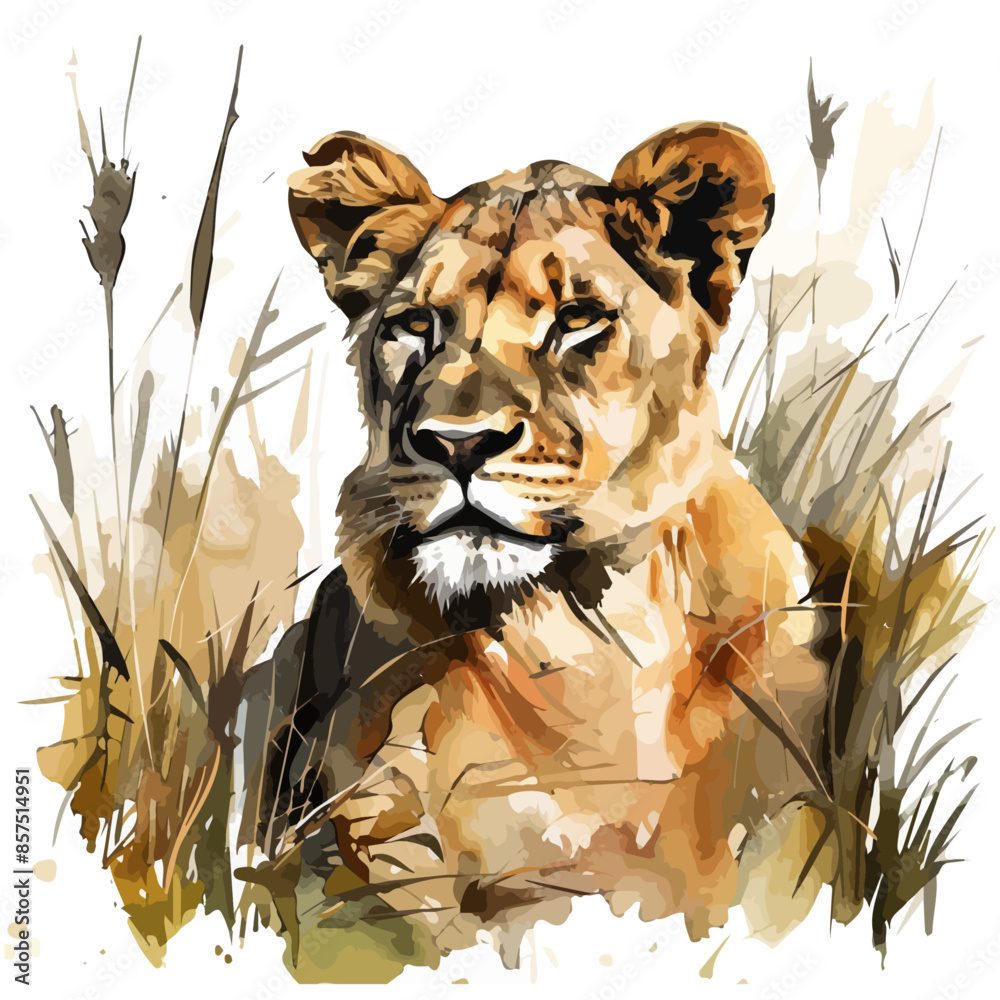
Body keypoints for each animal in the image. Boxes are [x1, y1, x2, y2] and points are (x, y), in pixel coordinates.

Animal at [242, 122, 832, 967]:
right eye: (414, 326)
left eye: (578, 318)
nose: (456, 444)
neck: (583, 637)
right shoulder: (378, 868)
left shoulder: (777, 837)